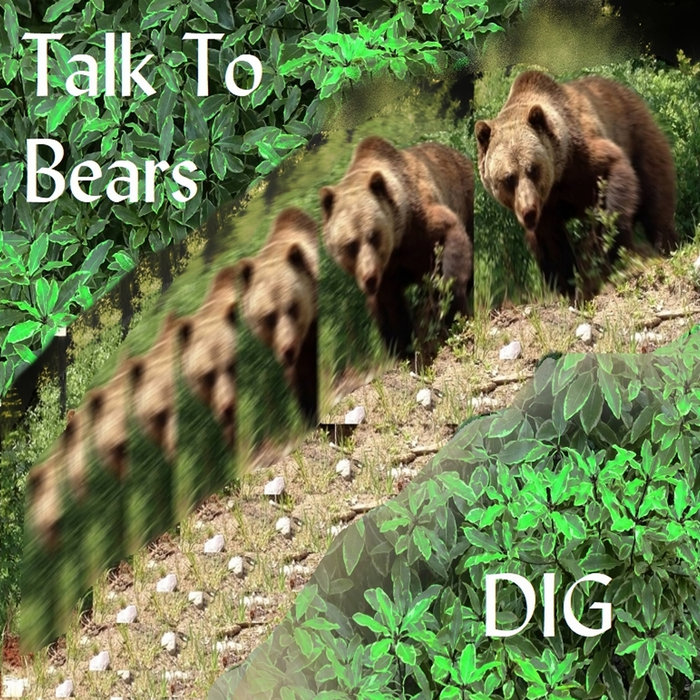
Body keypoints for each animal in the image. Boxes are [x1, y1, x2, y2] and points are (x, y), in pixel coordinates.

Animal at [320, 136, 474, 356]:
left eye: (373, 235)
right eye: (350, 244)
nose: (369, 277)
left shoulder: (421, 223)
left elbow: (450, 240)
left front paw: (451, 310)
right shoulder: (387, 273)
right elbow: (390, 309)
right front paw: (403, 347)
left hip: (464, 196)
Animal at [475, 69, 677, 298]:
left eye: (533, 169)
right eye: (509, 178)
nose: (528, 211)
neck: (559, 175)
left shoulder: (582, 155)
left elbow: (613, 172)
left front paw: (608, 246)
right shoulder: (548, 205)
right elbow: (551, 242)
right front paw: (567, 283)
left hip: (639, 136)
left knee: (656, 197)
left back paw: (665, 243)